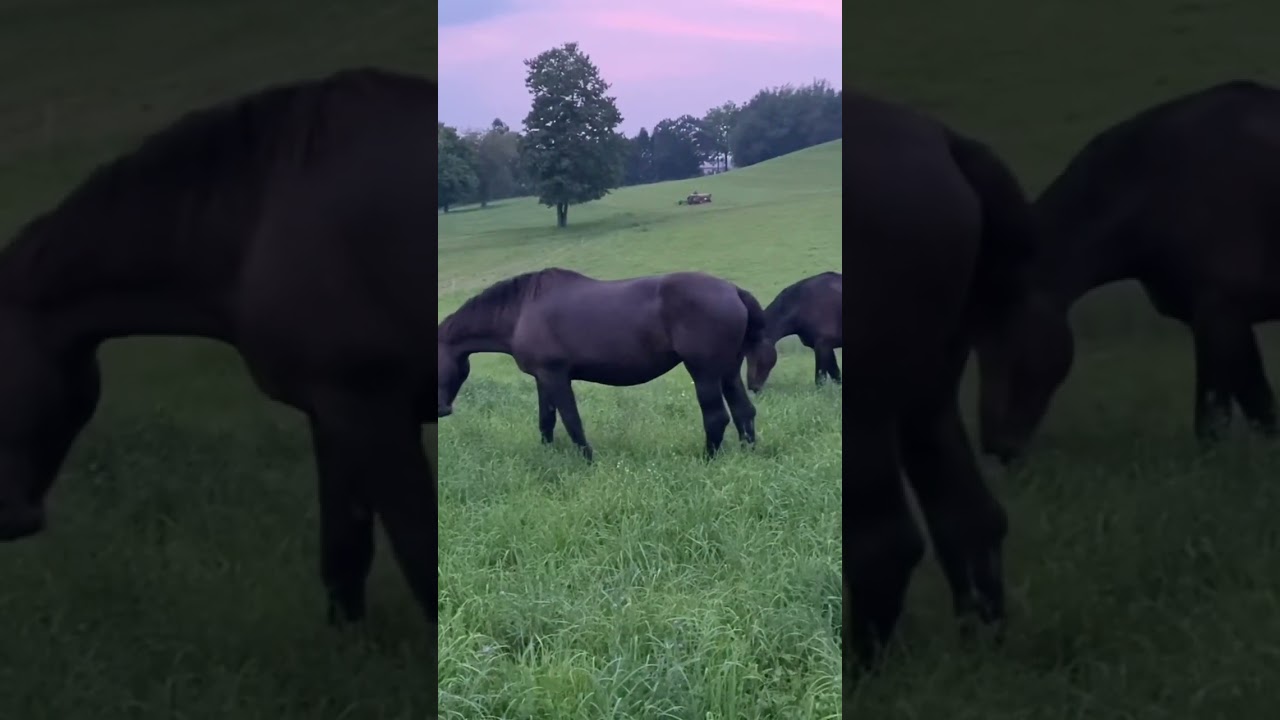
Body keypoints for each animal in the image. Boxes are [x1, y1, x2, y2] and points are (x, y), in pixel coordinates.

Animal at [0, 68, 436, 629]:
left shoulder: (372, 410)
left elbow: (420, 557)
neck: (256, 222)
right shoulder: (333, 412)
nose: (10, 518)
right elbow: (344, 553)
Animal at [436, 268, 765, 460]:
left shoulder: (555, 376)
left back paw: (706, 458)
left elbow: (572, 420)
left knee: (716, 417)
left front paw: (588, 459)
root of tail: (733, 290)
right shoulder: (542, 378)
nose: (441, 410)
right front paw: (548, 456)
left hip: (704, 371)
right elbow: (546, 420)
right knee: (743, 411)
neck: (520, 313)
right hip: (728, 371)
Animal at [846, 89, 1037, 674]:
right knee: (971, 518)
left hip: (867, 405)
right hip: (926, 394)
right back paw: (981, 649)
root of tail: (948, 142)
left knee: (883, 543)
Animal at [978, 80, 1280, 462]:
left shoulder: (1219, 315)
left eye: (1006, 332)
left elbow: (1214, 422)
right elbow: (1261, 408)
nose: (995, 445)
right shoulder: (1223, 320)